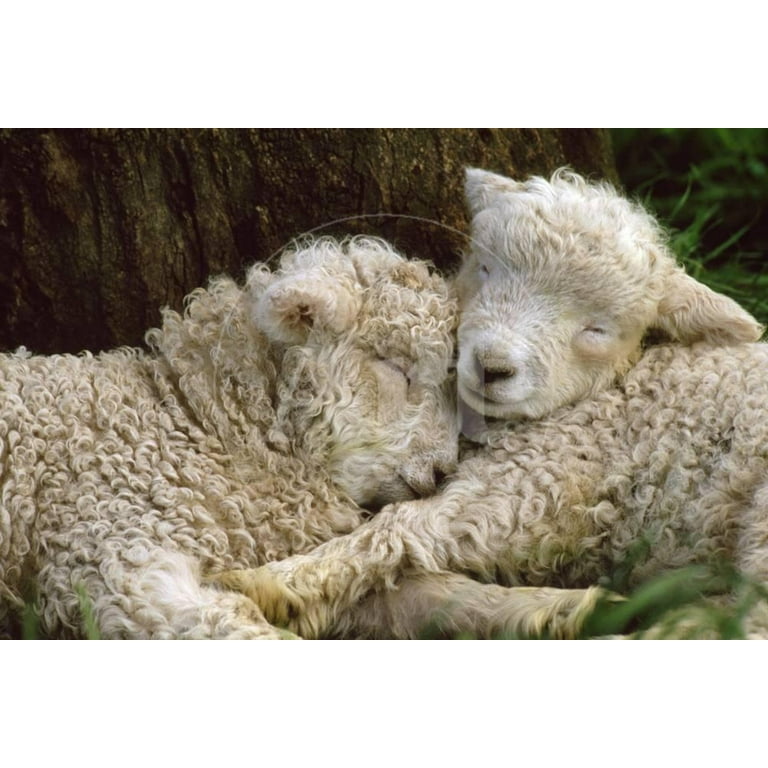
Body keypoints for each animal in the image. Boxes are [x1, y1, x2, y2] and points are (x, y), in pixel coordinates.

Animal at [213, 170, 768, 639]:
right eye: (483, 267)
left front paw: (267, 581)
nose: (491, 365)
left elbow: (400, 527)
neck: (607, 392)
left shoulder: (534, 481)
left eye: (597, 329)